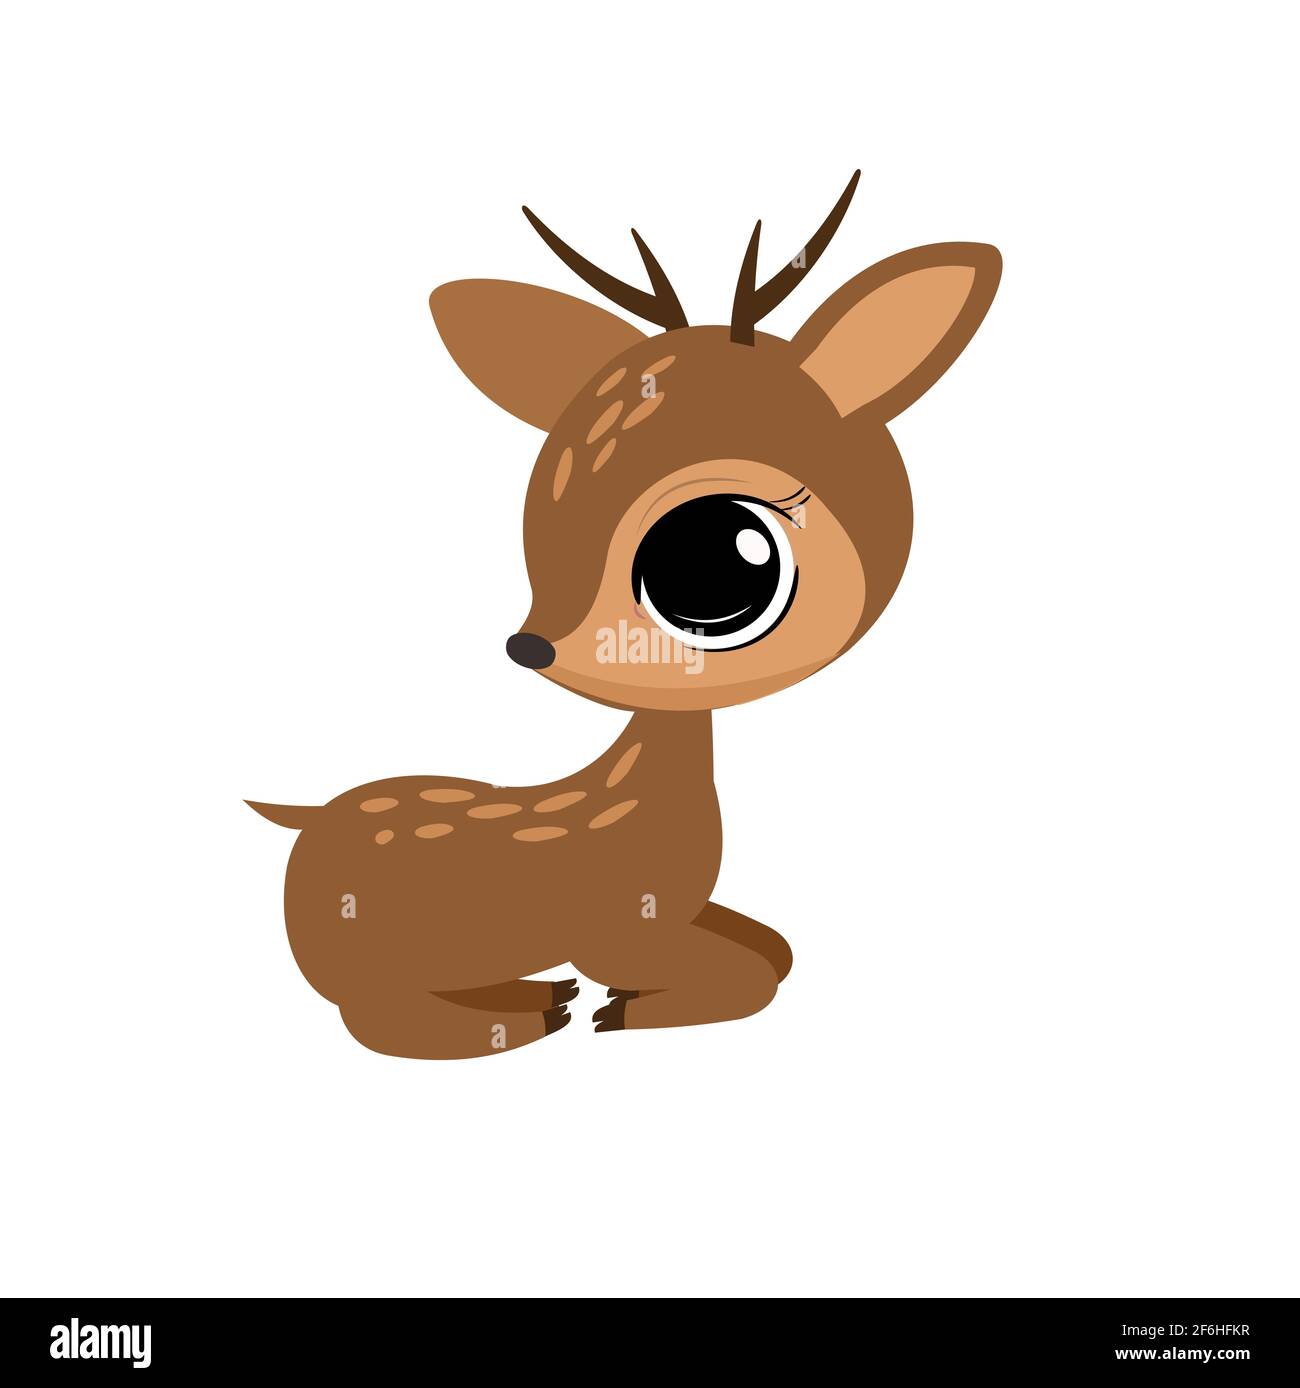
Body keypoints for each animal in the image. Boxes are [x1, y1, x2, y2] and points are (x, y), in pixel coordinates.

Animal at [248, 172, 1001, 1059]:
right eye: (543, 499)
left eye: (716, 558)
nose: (531, 645)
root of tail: (302, 824)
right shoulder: (616, 928)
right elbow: (750, 975)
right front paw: (631, 1007)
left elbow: (774, 951)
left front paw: (635, 999)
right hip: (375, 968)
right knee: (379, 1018)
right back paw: (528, 1013)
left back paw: (535, 992)